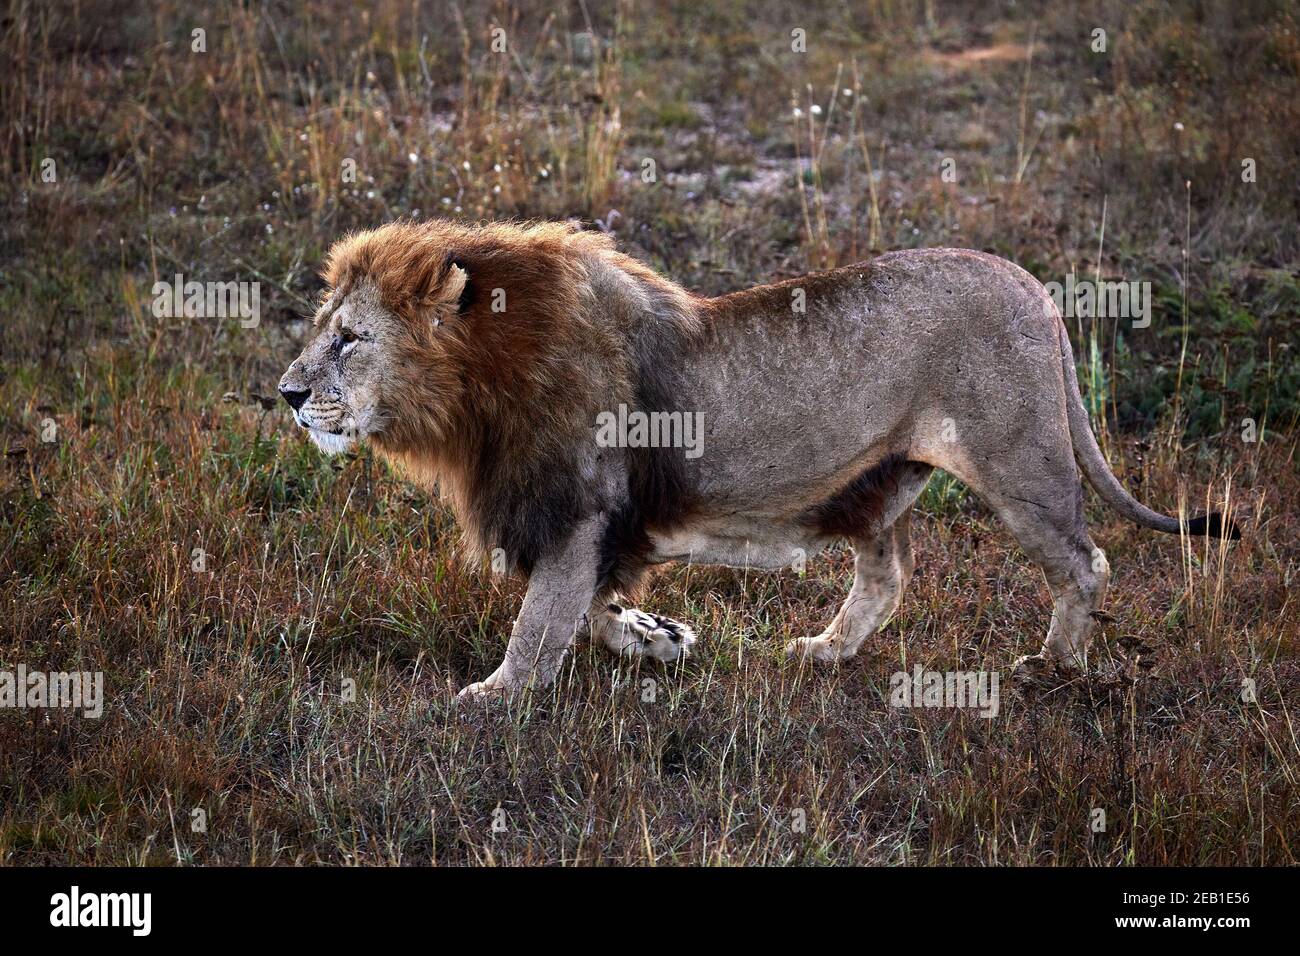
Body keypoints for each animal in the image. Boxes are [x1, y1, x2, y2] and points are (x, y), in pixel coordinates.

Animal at [277, 219, 1237, 699]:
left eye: (351, 339)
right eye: (320, 330)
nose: (285, 393)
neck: (473, 395)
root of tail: (1033, 285)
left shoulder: (578, 508)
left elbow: (543, 617)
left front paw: (495, 699)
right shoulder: (598, 525)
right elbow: (588, 607)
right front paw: (657, 640)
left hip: (1019, 465)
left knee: (1085, 559)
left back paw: (1057, 665)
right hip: (882, 478)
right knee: (889, 574)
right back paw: (825, 652)